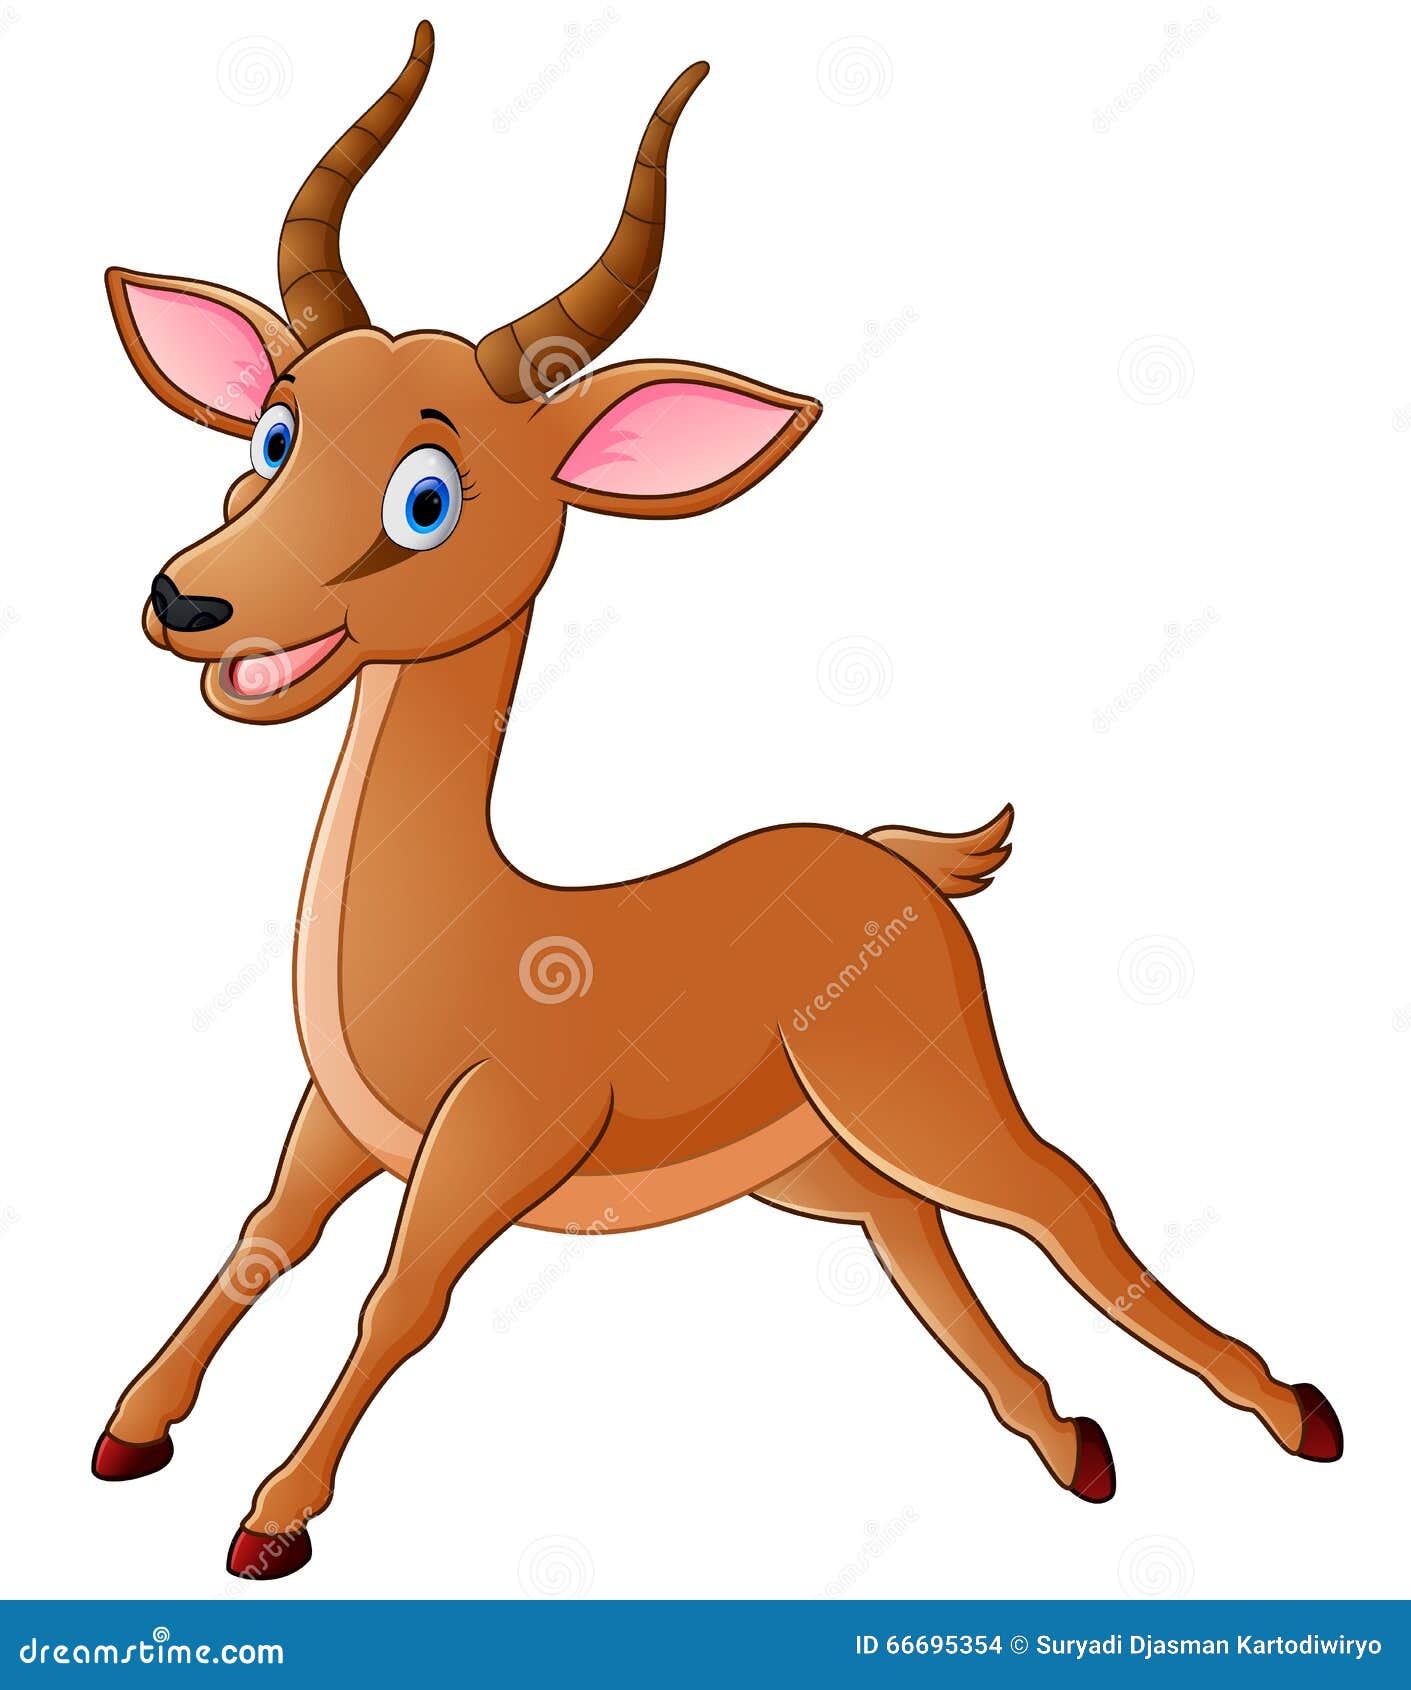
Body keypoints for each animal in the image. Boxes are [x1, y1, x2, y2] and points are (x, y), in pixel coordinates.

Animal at [97, 23, 1341, 1581]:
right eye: (272, 433)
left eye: (427, 494)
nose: (187, 600)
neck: (462, 938)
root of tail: (890, 860)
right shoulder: (340, 1121)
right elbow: (262, 1235)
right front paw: (127, 1431)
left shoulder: (498, 1139)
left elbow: (399, 1296)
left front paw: (272, 1517)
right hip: (820, 1162)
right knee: (917, 1242)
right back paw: (1074, 1447)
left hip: (924, 1092)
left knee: (1060, 1200)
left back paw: (1294, 1413)